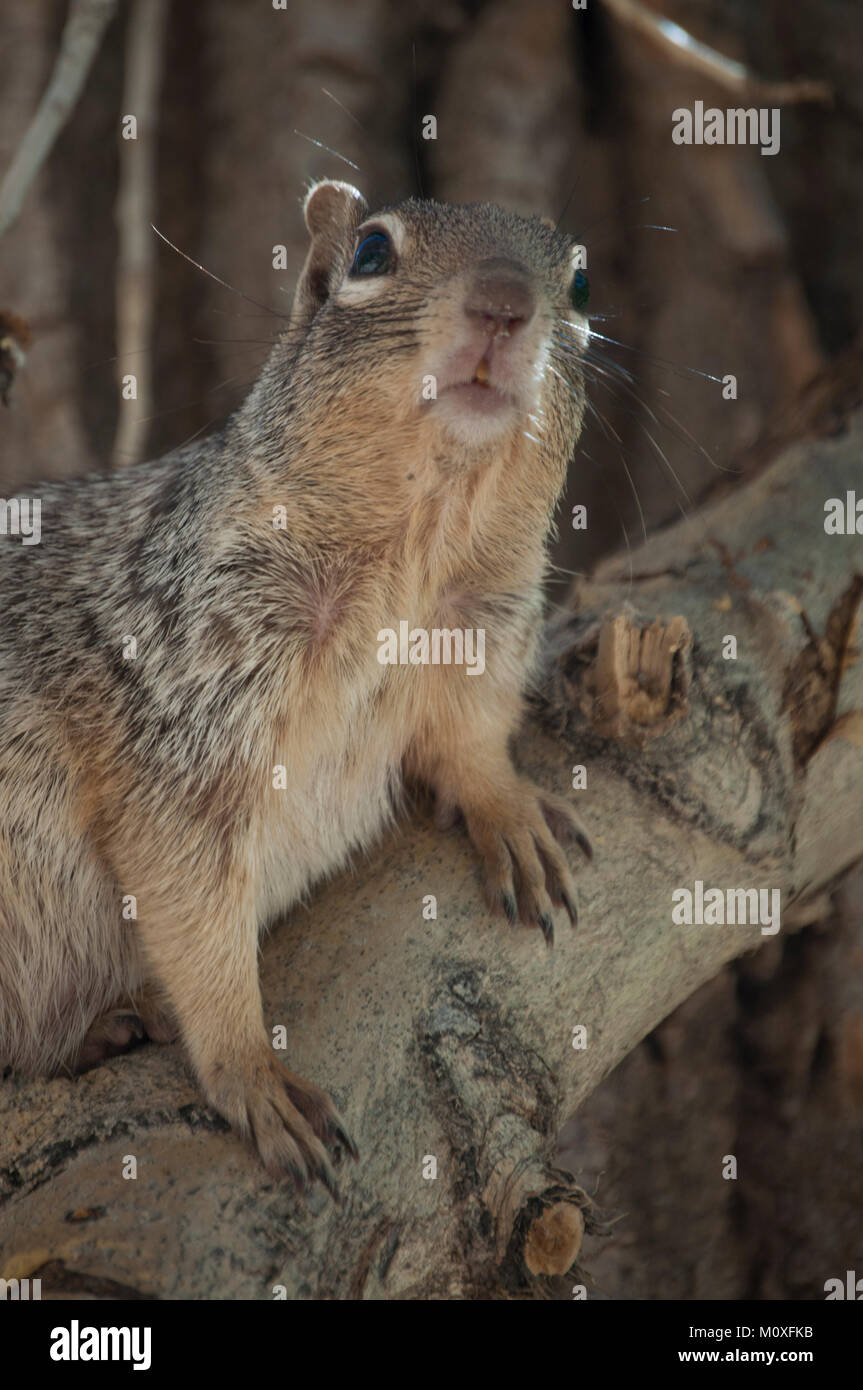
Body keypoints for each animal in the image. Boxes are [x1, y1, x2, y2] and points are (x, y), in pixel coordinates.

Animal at [0, 180, 591, 1197]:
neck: (412, 562)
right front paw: (252, 1071)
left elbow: (469, 740)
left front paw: (510, 810)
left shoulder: (482, 626)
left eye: (582, 285)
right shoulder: (187, 703)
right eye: (369, 253)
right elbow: (191, 901)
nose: (504, 304)